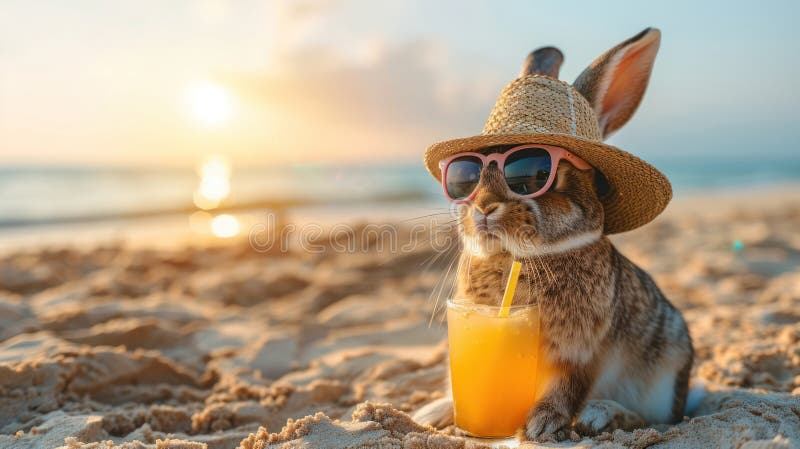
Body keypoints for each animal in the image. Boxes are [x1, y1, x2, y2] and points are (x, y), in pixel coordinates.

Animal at [413, 28, 694, 441]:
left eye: (535, 174)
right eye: (466, 177)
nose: (483, 208)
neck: (516, 257)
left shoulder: (578, 352)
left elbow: (567, 388)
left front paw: (540, 425)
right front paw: (436, 411)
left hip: (664, 372)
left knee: (653, 419)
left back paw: (601, 415)